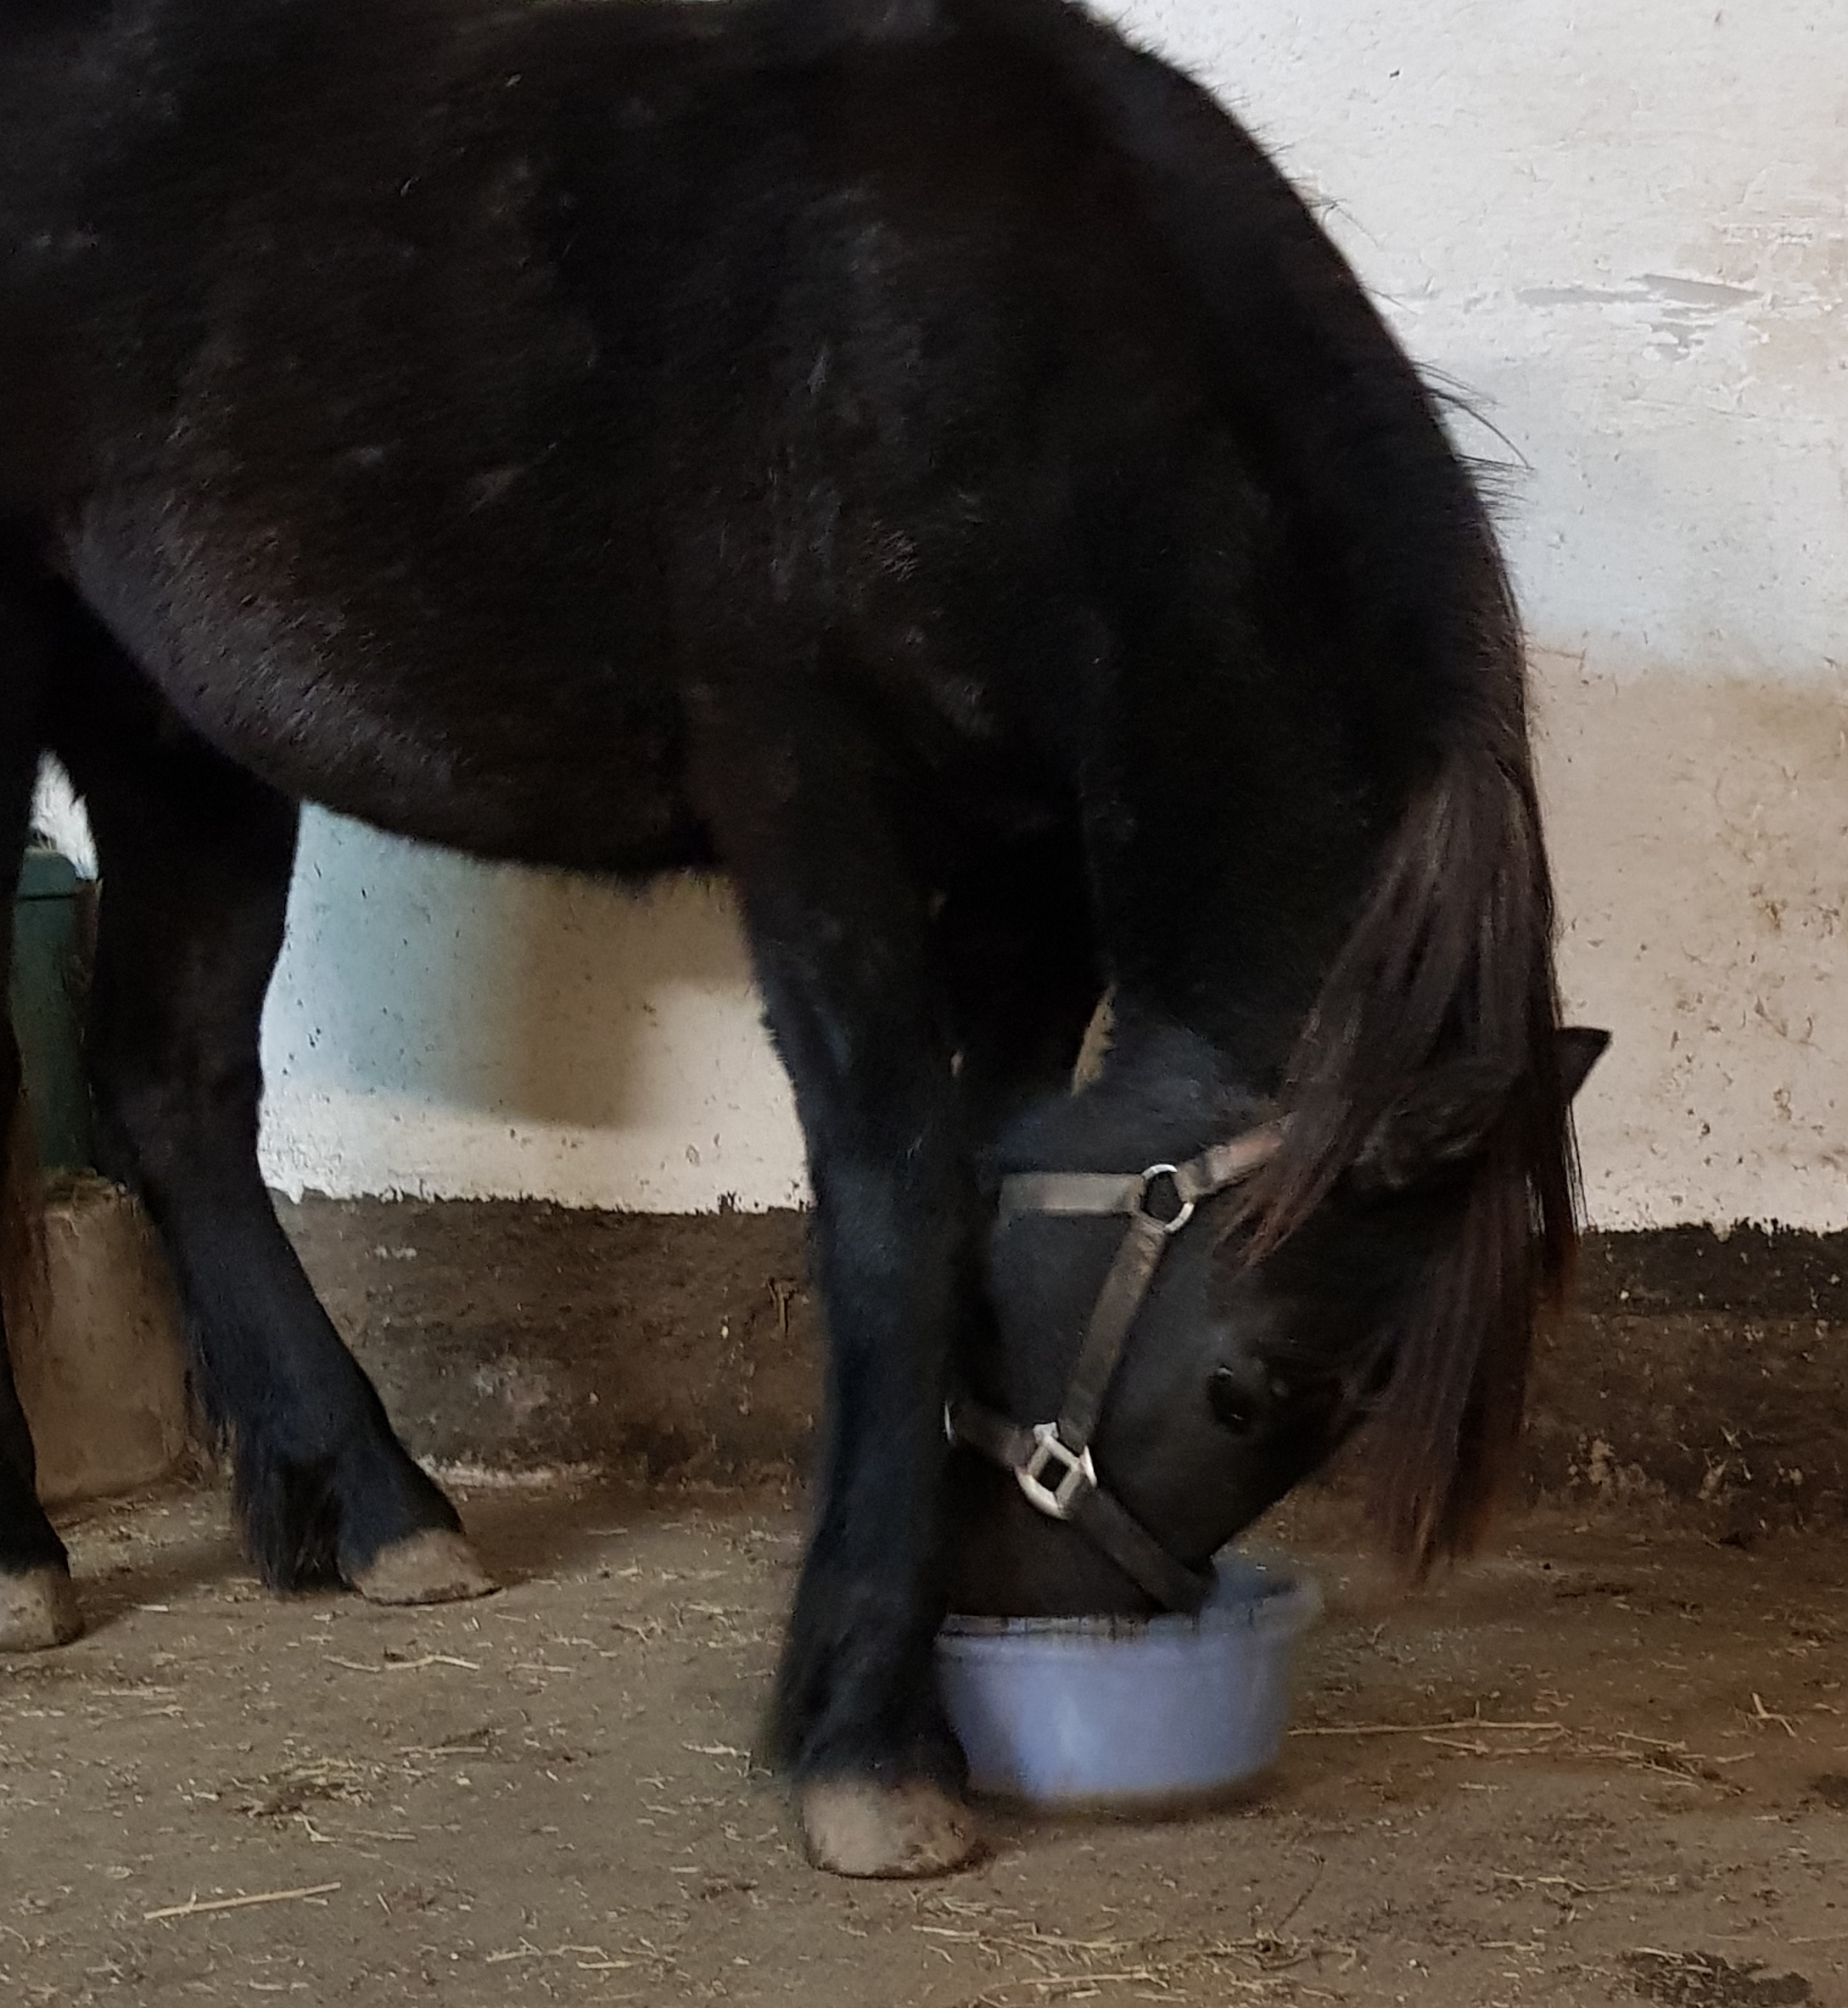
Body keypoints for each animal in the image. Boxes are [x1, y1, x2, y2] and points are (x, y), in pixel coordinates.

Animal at [0, 0, 1604, 1876]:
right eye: (1246, 1387)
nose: (1024, 1594)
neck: (1008, 352)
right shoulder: (811, 803)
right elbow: (897, 1201)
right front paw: (868, 1736)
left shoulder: (1024, 865)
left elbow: (980, 1169)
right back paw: (26, 1553)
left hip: (173, 723)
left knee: (172, 1082)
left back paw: (368, 1498)